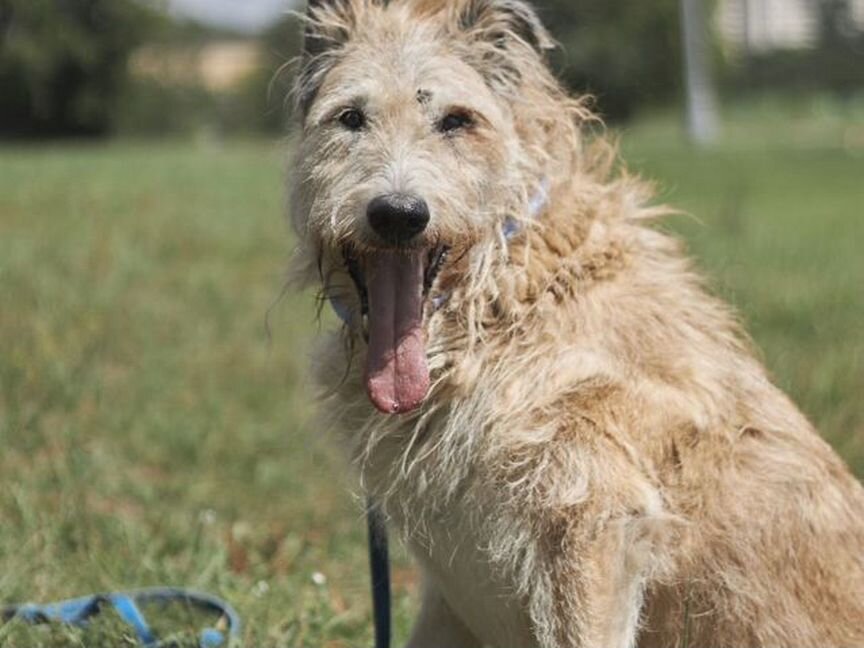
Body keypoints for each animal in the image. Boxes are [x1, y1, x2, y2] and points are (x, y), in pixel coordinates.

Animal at [288, 1, 864, 644]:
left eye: (456, 121)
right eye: (350, 118)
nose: (397, 214)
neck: (503, 299)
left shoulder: (595, 520)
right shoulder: (454, 595)